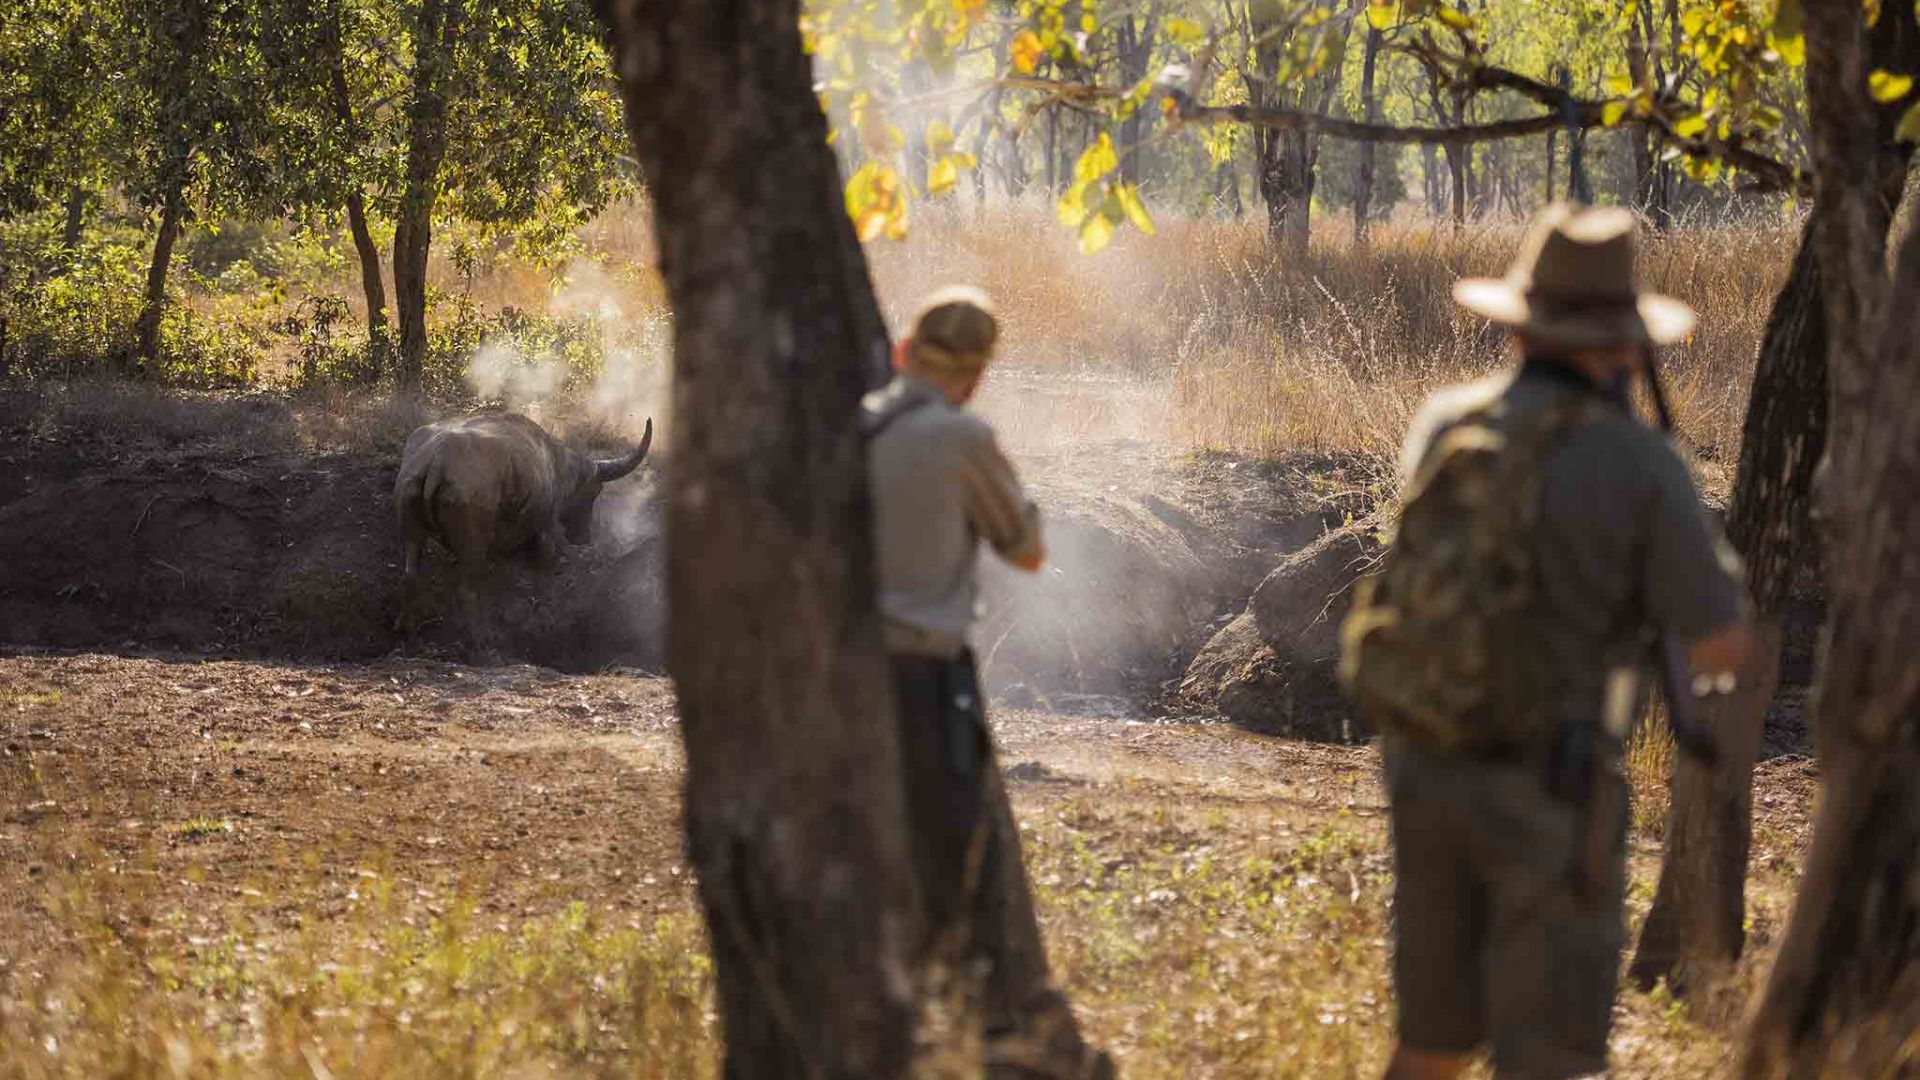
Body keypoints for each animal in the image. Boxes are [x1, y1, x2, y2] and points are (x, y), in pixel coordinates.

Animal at [394, 411, 653, 651]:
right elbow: (545, 564)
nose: (584, 537)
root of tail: (437, 461)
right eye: (593, 492)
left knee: (410, 575)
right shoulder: (545, 531)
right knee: (466, 590)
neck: (554, 463)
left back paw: (408, 629)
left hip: (411, 527)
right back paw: (480, 642)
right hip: (472, 545)